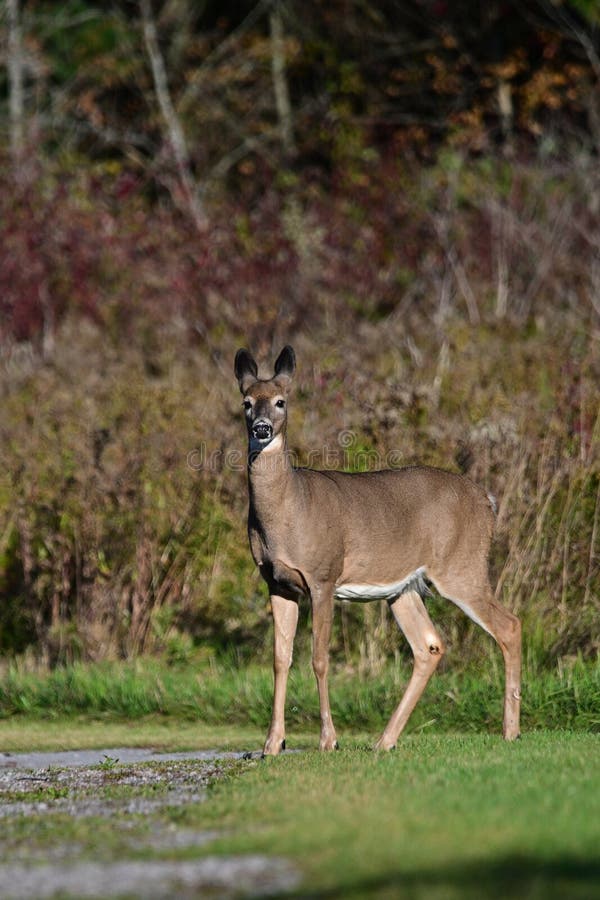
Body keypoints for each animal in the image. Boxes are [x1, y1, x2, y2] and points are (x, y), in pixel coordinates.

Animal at [234, 345, 521, 755]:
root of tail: (489, 501)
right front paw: (272, 744)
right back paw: (385, 740)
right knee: (430, 645)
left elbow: (319, 659)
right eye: (246, 402)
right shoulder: (276, 582)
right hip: (404, 587)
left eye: (280, 401)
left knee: (509, 625)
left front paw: (328, 740)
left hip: (461, 566)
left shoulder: (323, 576)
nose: (262, 428)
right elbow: (280, 659)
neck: (289, 508)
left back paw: (510, 732)